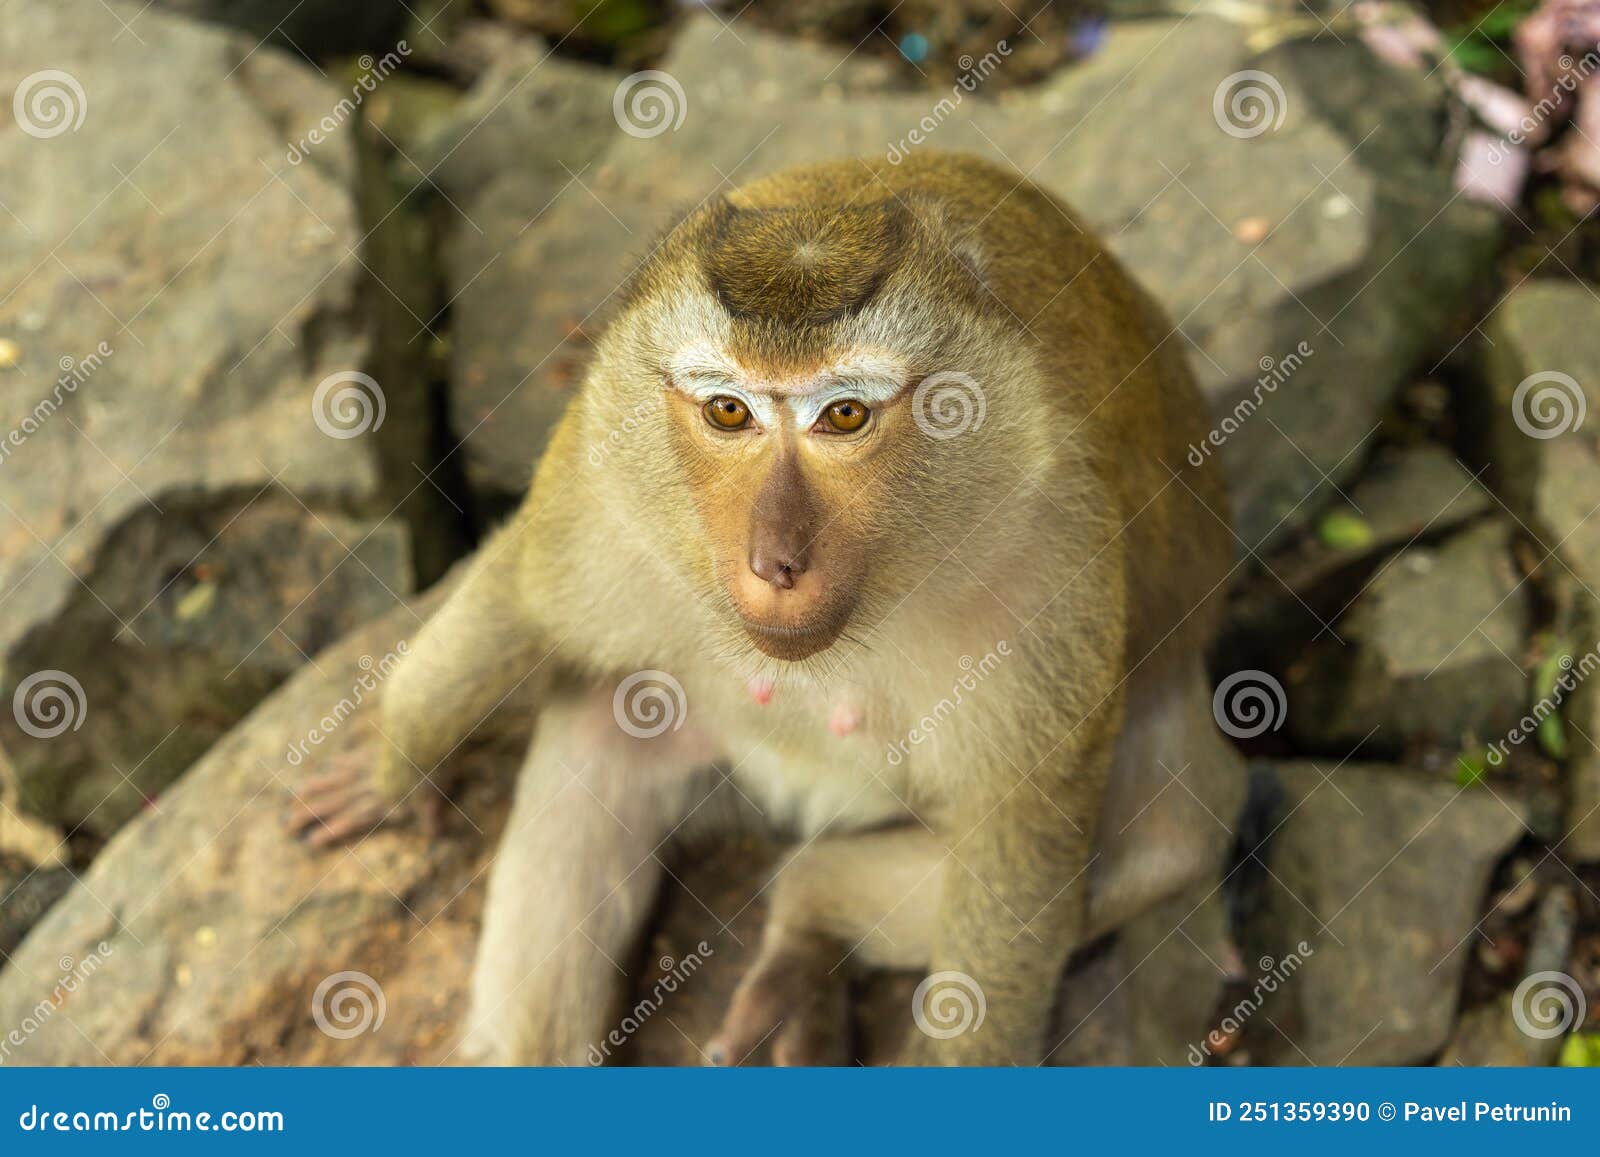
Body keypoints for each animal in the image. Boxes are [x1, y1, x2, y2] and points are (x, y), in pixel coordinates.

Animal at [292, 151, 1246, 1066]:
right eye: (728, 410)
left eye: (845, 415)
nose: (775, 560)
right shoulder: (605, 479)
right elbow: (521, 598)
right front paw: (393, 767)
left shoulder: (1054, 558)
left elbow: (1019, 850)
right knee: (591, 760)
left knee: (1159, 845)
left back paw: (809, 922)